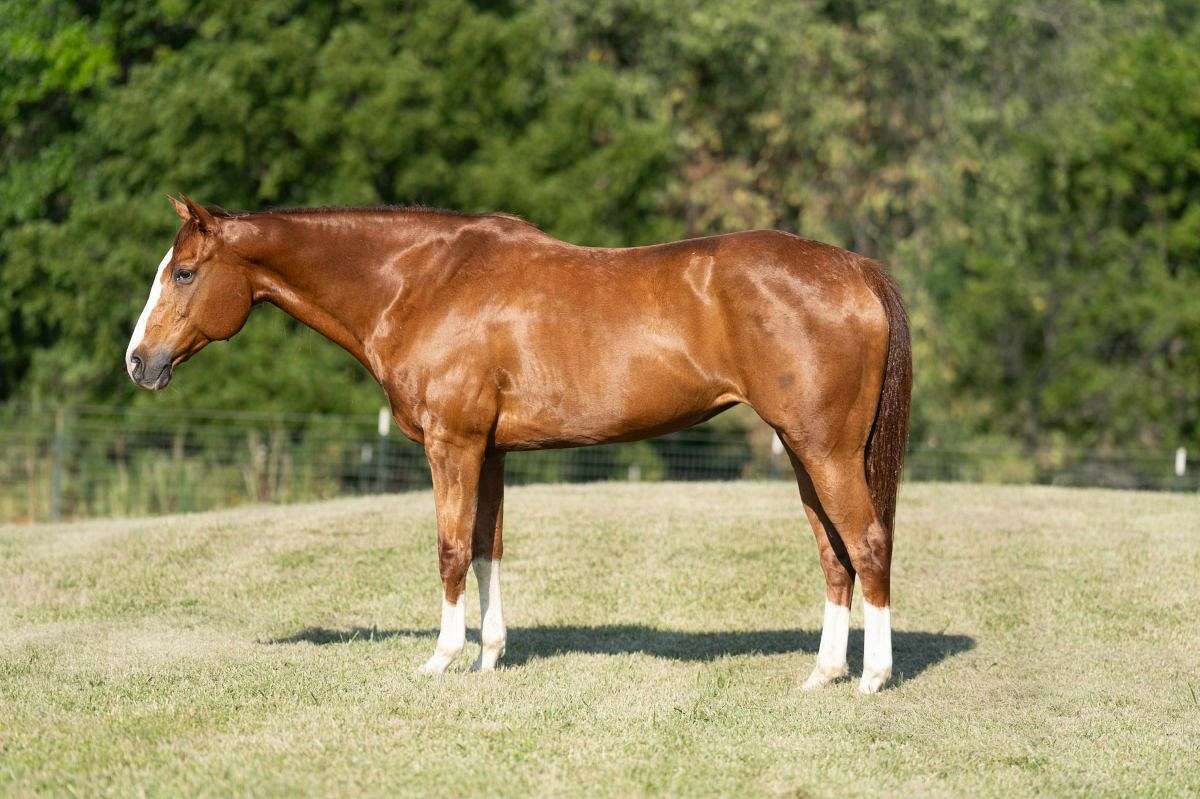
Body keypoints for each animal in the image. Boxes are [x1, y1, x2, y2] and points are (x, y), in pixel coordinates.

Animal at [126, 195, 911, 693]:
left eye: (184, 272)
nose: (138, 361)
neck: (422, 283)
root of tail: (856, 269)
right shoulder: (491, 450)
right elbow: (486, 548)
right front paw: (489, 658)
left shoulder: (453, 444)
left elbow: (449, 549)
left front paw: (442, 659)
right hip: (804, 452)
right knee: (834, 556)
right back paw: (823, 674)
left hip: (827, 452)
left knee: (868, 544)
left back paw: (872, 678)